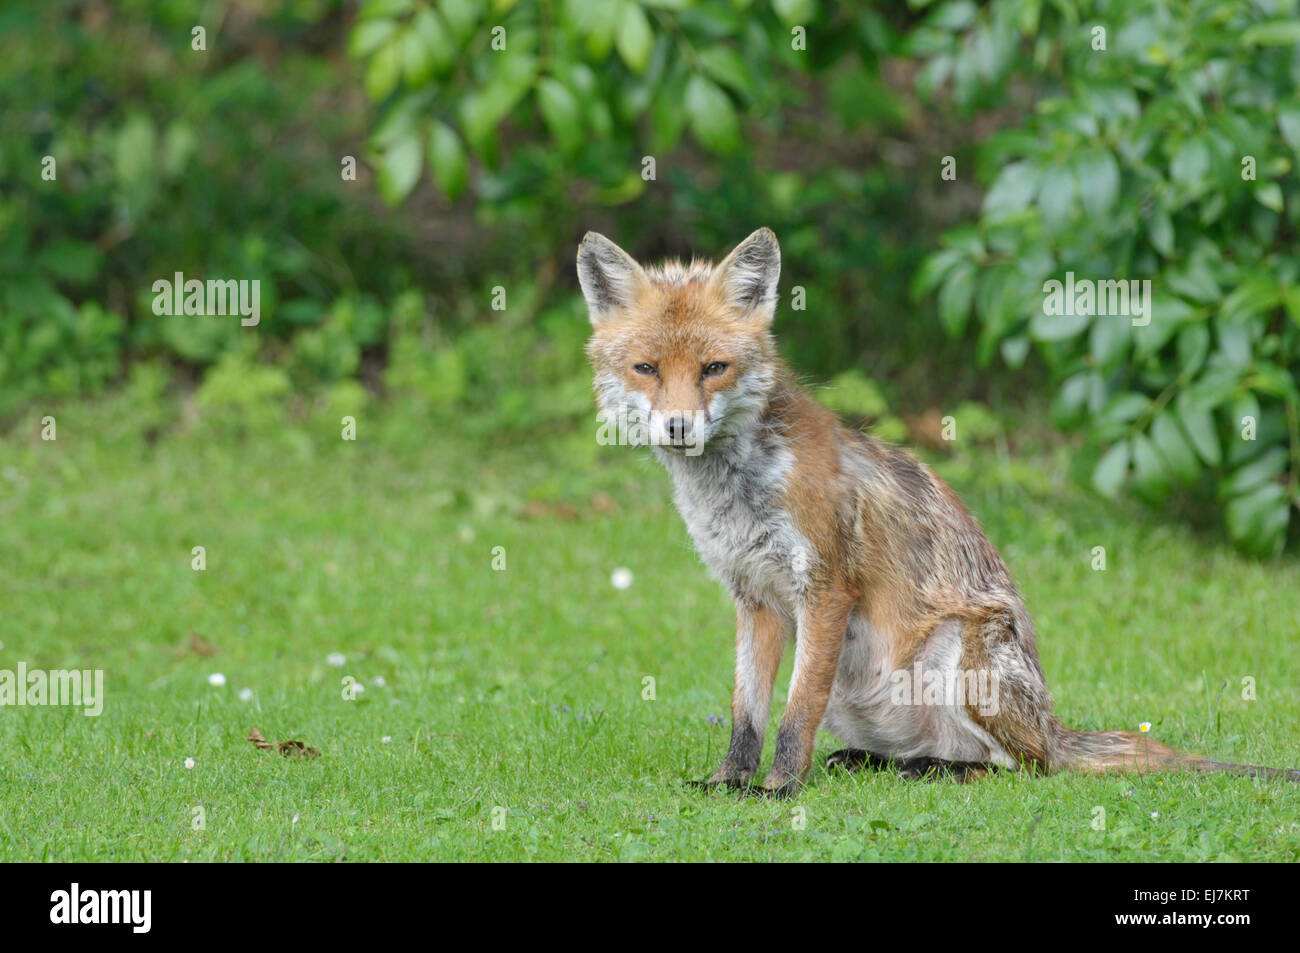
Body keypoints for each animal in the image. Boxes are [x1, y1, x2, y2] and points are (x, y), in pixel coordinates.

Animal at [577, 227, 1300, 798]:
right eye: (646, 368)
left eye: (714, 368)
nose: (677, 427)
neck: (736, 491)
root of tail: (1055, 728)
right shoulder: (753, 598)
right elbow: (747, 715)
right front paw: (728, 781)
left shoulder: (825, 588)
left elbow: (793, 712)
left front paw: (778, 790)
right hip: (860, 693)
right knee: (934, 751)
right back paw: (875, 761)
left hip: (961, 656)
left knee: (1020, 767)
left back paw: (937, 771)